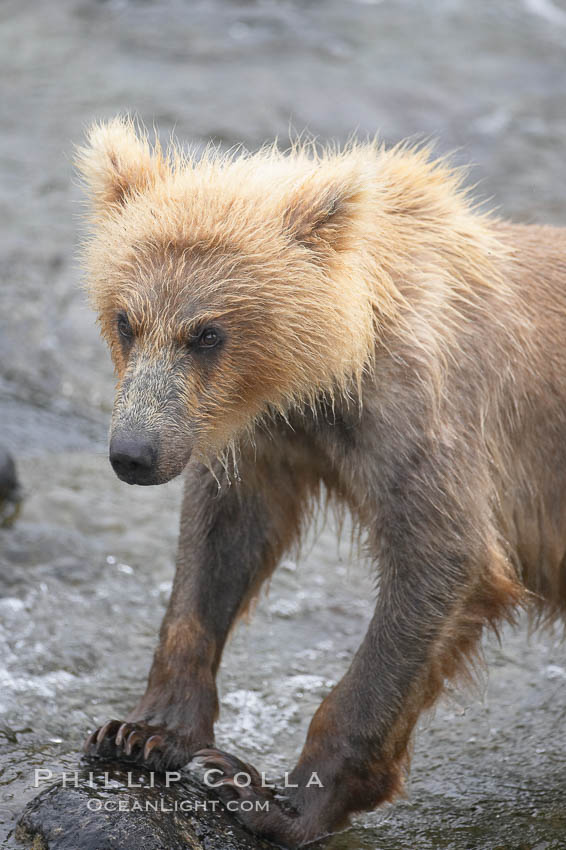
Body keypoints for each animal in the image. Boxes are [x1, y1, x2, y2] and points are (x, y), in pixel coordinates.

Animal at [76, 117, 566, 848]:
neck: (327, 367)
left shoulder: (418, 414)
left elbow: (440, 561)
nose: (133, 453)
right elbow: (219, 549)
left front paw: (266, 793)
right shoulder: (266, 437)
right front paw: (142, 732)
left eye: (207, 333)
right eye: (125, 320)